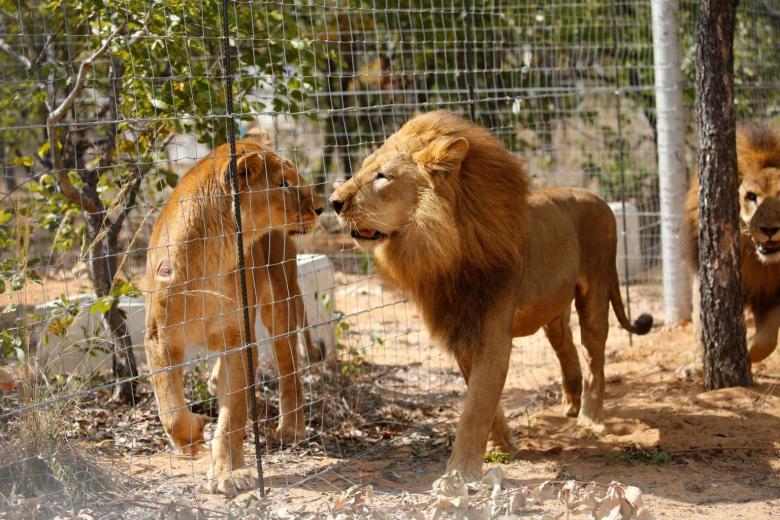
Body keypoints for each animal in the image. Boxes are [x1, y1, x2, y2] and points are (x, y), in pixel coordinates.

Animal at [145, 136, 323, 495]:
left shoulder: (240, 339)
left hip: (280, 301)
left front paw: (229, 473)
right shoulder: (159, 338)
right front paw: (191, 438)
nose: (321, 206)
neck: (216, 254)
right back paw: (214, 381)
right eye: (283, 184)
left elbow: (232, 418)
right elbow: (170, 406)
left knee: (290, 370)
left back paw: (291, 429)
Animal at [329, 110, 652, 482]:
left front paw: (460, 473)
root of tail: (599, 199)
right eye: (364, 168)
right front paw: (500, 447)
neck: (443, 250)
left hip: (596, 288)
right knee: (566, 345)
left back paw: (589, 418)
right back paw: (571, 401)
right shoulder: (461, 328)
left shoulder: (492, 331)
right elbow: (482, 398)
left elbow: (476, 406)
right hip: (554, 306)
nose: (333, 202)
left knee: (595, 356)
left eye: (382, 176)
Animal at [684, 124, 780, 363]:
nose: (769, 230)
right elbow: (700, 324)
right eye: (751, 197)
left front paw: (748, 352)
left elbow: (767, 340)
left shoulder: (773, 290)